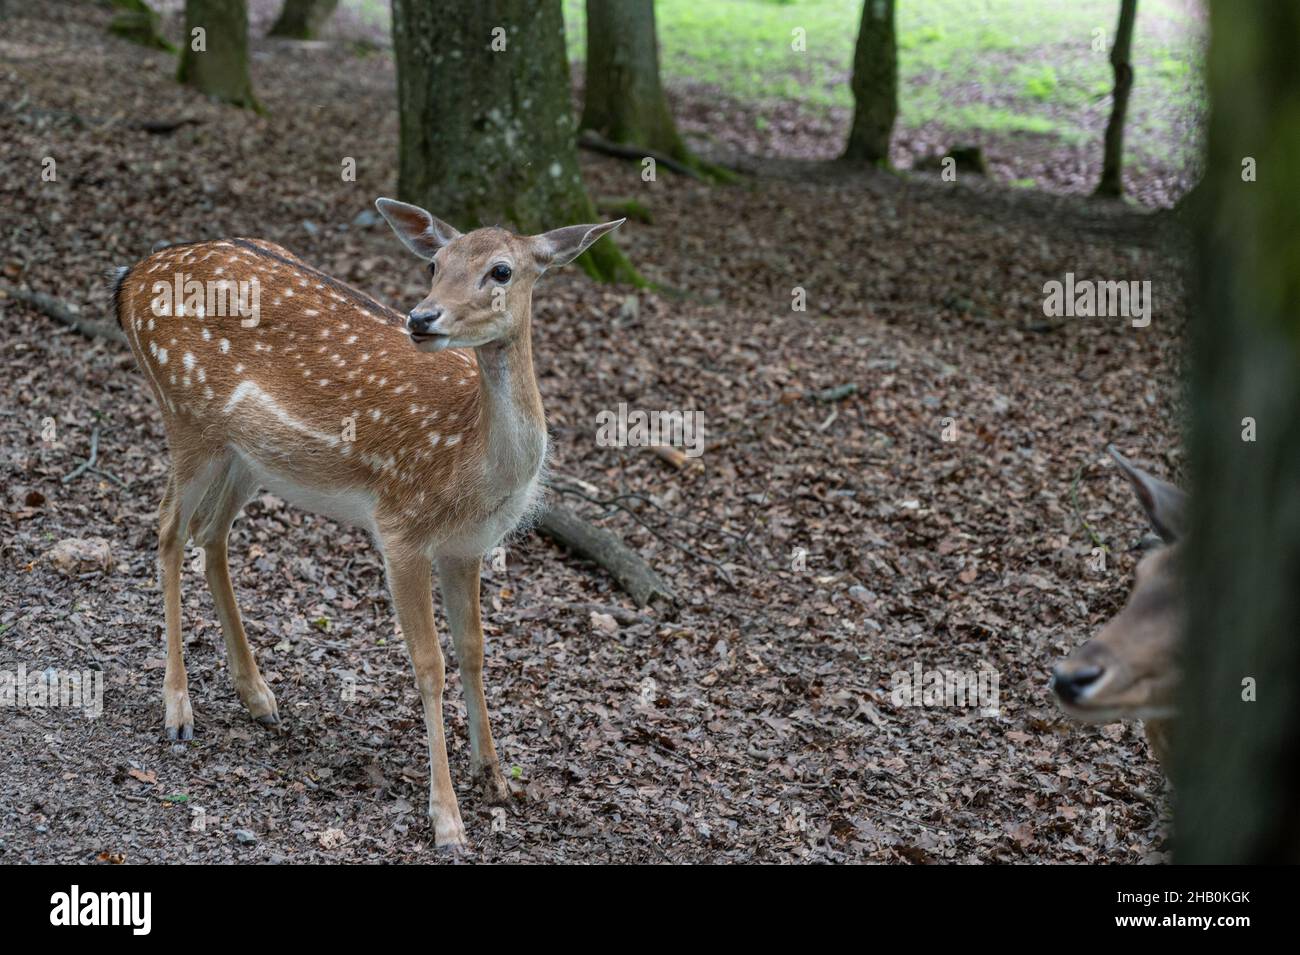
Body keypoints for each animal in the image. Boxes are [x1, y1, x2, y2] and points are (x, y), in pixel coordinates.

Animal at [113, 199, 624, 848]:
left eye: (502, 271)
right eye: (434, 263)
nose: (421, 318)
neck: (474, 465)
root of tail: (131, 278)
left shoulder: (467, 547)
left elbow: (475, 649)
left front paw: (495, 778)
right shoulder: (401, 526)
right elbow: (428, 665)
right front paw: (447, 820)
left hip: (246, 455)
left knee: (211, 533)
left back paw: (258, 696)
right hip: (185, 416)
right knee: (168, 529)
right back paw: (179, 710)